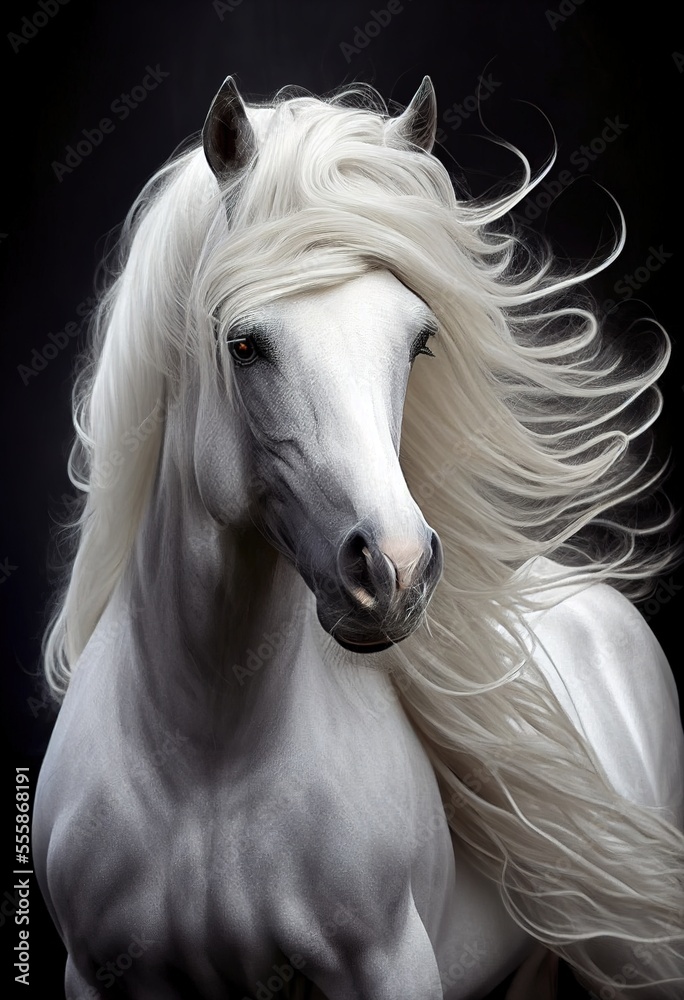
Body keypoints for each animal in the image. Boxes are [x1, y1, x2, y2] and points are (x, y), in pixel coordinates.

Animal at [33, 75, 684, 999]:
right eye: (244, 344)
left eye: (419, 342)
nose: (397, 571)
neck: (207, 763)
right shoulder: (99, 974)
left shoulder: (390, 969)